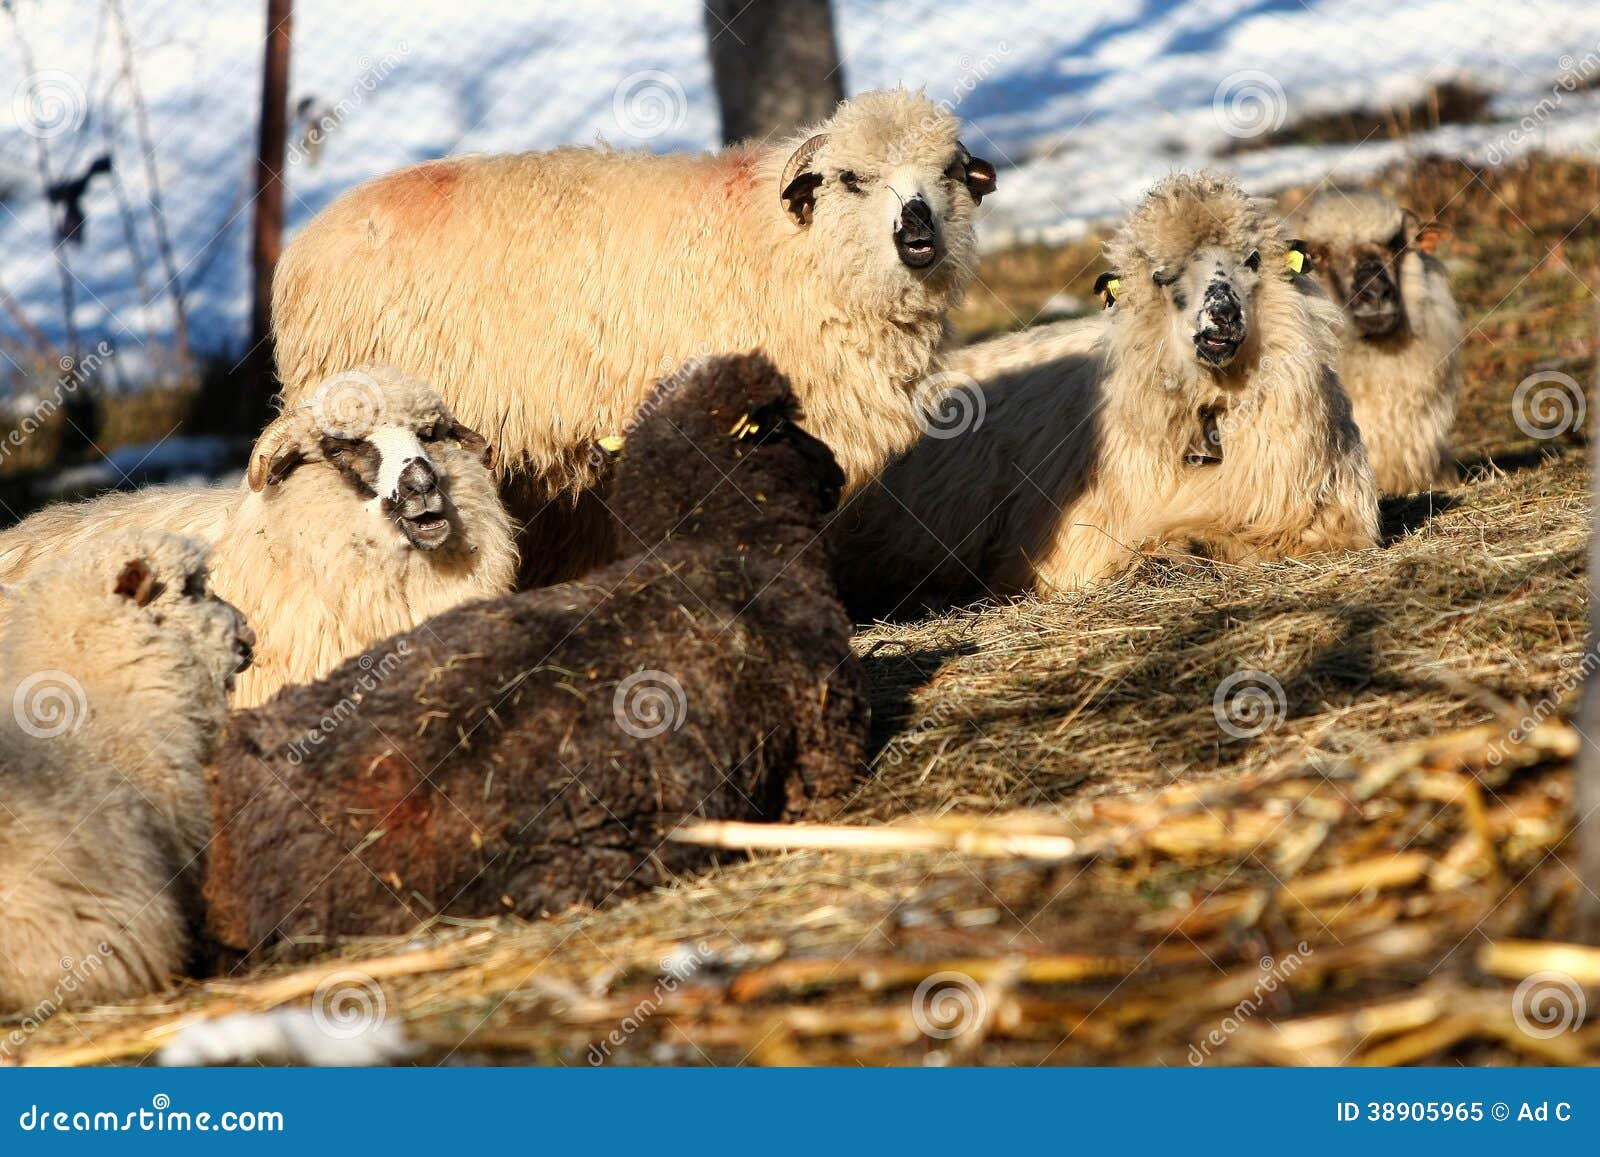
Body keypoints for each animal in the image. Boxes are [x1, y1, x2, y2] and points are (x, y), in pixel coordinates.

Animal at [832, 172, 1380, 616]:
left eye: (1253, 259)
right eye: (1161, 274)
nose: (1222, 316)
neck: (1210, 407)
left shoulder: (1333, 516)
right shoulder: (1078, 542)